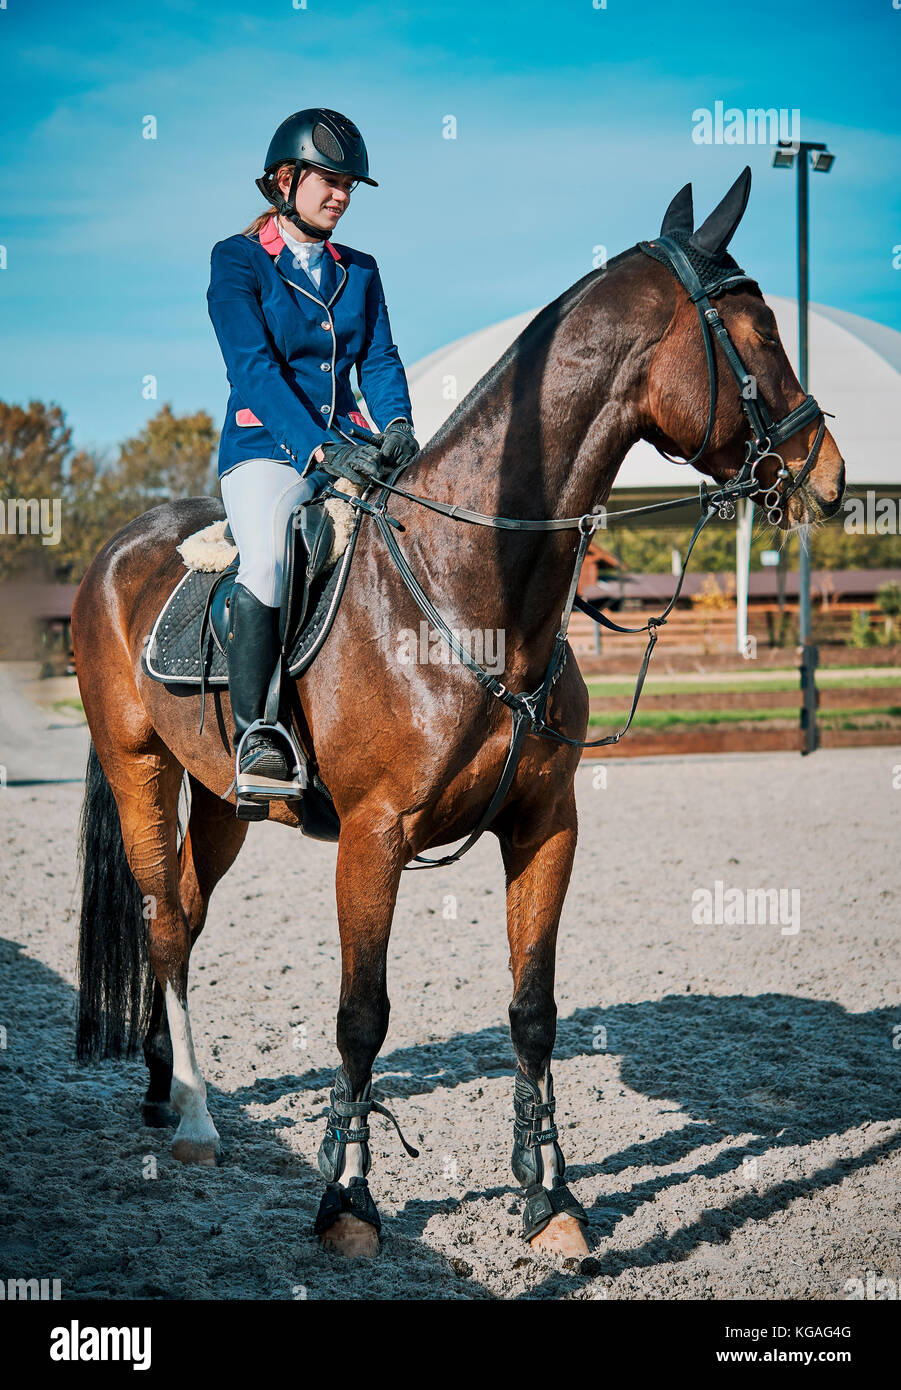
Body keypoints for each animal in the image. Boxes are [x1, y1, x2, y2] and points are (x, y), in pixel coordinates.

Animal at [72, 169, 844, 1261]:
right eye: (760, 330)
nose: (830, 473)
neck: (473, 593)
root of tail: (118, 545)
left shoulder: (545, 825)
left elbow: (533, 1009)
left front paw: (548, 1196)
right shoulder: (373, 838)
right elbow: (361, 1015)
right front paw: (346, 1200)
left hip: (224, 800)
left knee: (183, 905)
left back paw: (160, 1088)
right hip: (139, 766)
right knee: (164, 921)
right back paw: (193, 1121)